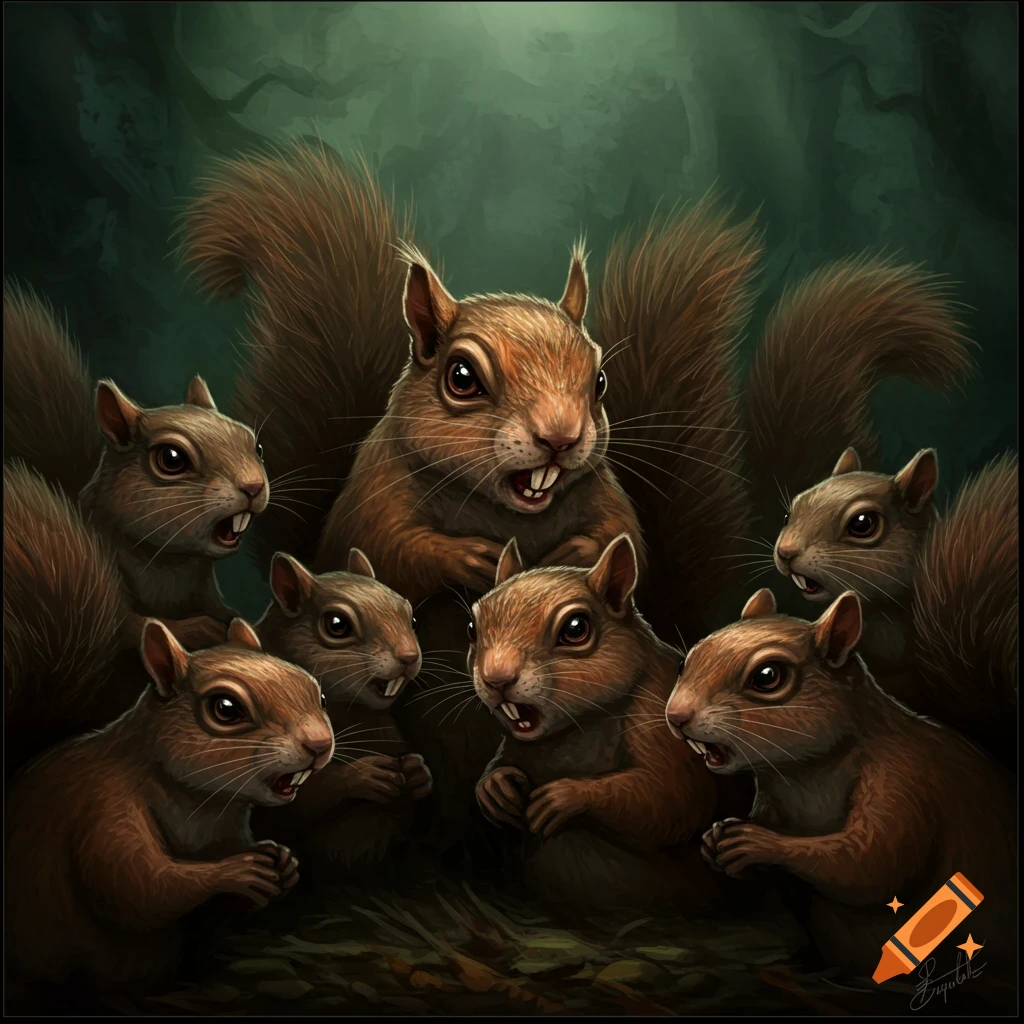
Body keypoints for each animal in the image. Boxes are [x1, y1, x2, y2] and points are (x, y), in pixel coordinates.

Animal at [2, 280, 269, 655]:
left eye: (256, 446)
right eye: (171, 458)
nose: (254, 486)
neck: (171, 564)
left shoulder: (207, 590)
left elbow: (228, 612)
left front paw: (237, 622)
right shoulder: (109, 583)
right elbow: (133, 627)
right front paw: (201, 629)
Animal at [5, 612, 335, 994]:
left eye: (320, 695)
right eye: (226, 708)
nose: (320, 744)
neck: (199, 803)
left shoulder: (223, 830)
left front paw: (281, 859)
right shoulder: (105, 809)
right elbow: (135, 888)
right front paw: (235, 871)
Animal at [249, 549, 434, 871]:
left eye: (411, 617)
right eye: (337, 625)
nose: (410, 657)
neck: (349, 712)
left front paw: (418, 773)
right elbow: (292, 804)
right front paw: (362, 774)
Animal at [470, 535, 726, 912]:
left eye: (576, 628)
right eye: (472, 628)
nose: (496, 678)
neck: (578, 726)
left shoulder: (660, 721)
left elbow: (671, 799)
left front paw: (564, 796)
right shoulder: (516, 743)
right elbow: (501, 762)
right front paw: (494, 787)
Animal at [667, 588, 1016, 989]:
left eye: (767, 676)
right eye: (685, 663)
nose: (676, 716)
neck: (801, 776)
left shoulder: (903, 780)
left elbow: (870, 864)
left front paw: (755, 843)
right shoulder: (771, 801)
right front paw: (715, 838)